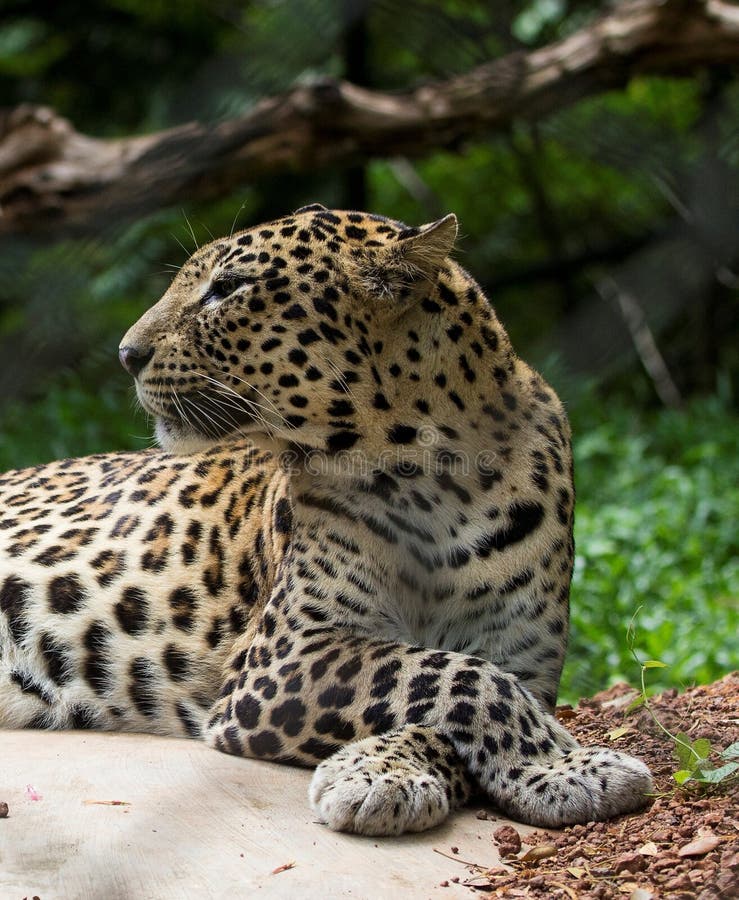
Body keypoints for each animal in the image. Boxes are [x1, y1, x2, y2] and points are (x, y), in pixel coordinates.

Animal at [0, 205, 652, 835]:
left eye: (226, 288)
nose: (126, 355)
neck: (436, 481)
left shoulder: (522, 657)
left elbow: (469, 687)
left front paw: (390, 771)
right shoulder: (283, 655)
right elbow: (453, 676)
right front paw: (562, 765)